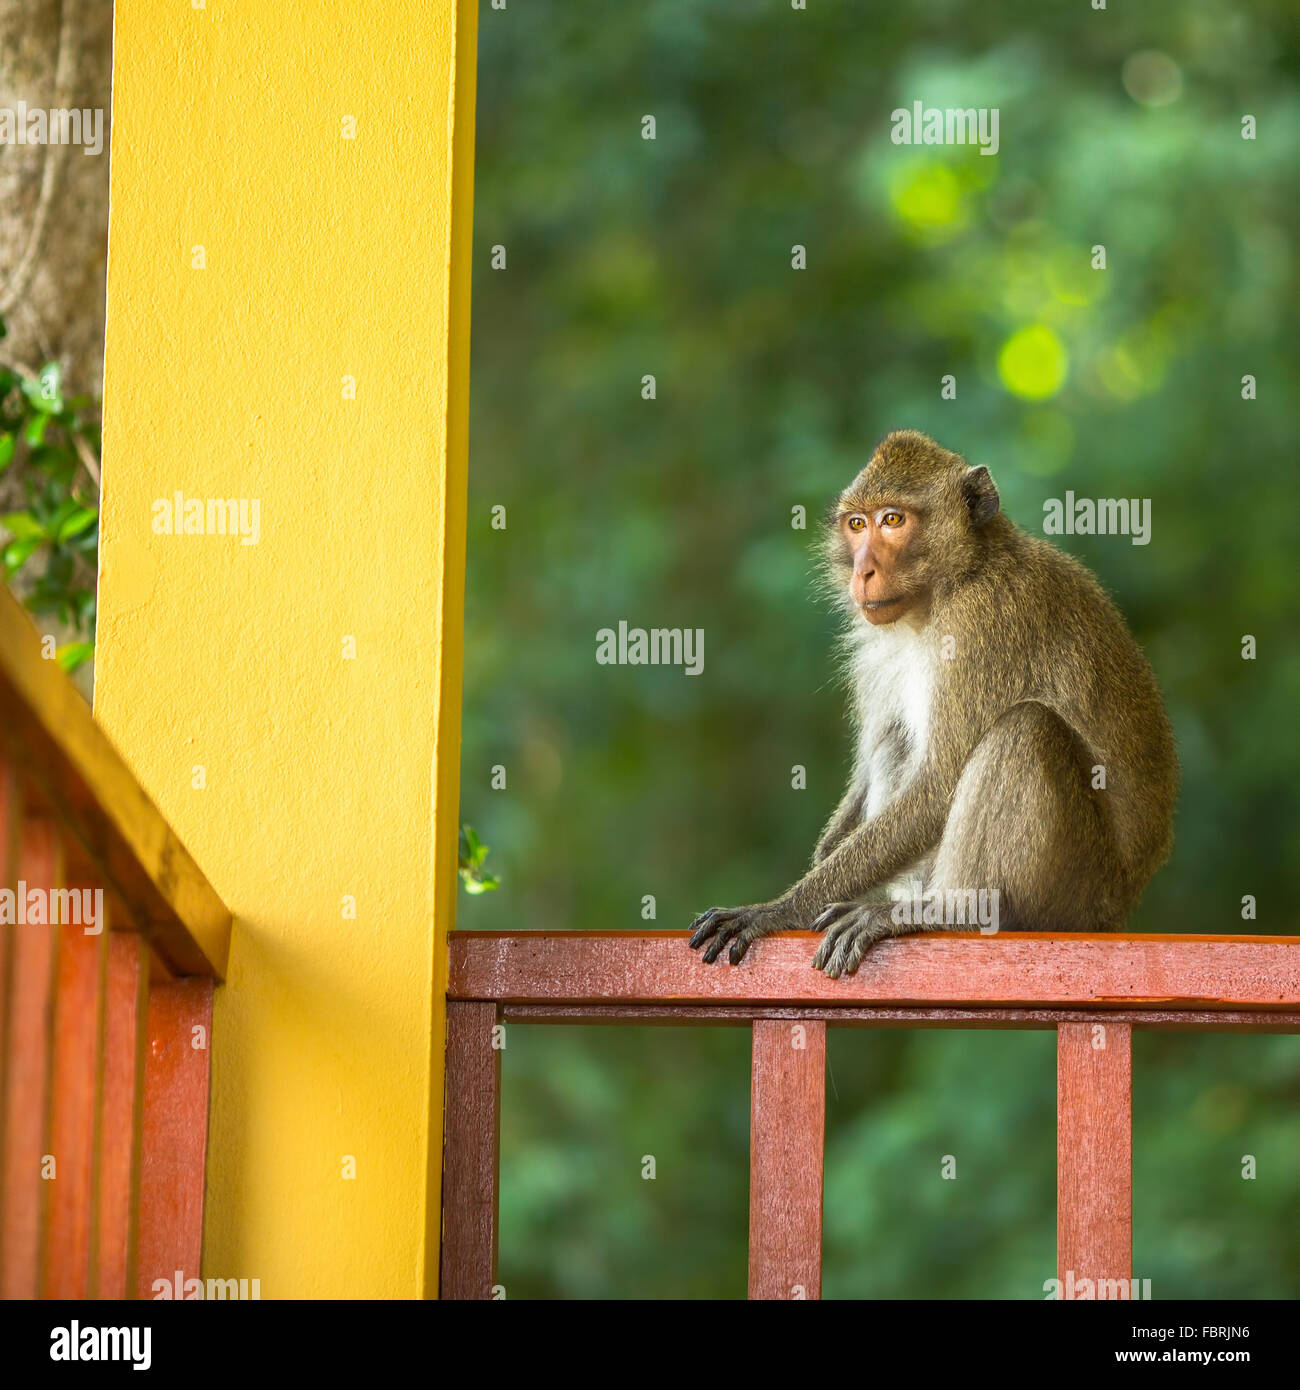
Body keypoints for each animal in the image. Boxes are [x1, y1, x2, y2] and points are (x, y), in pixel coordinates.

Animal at [688, 429, 1177, 977]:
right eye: (857, 524)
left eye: (893, 520)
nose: (863, 571)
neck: (946, 588)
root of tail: (1116, 909)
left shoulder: (982, 621)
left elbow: (941, 780)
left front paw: (776, 909)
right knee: (897, 740)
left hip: (1074, 893)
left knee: (1025, 729)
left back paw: (949, 912)